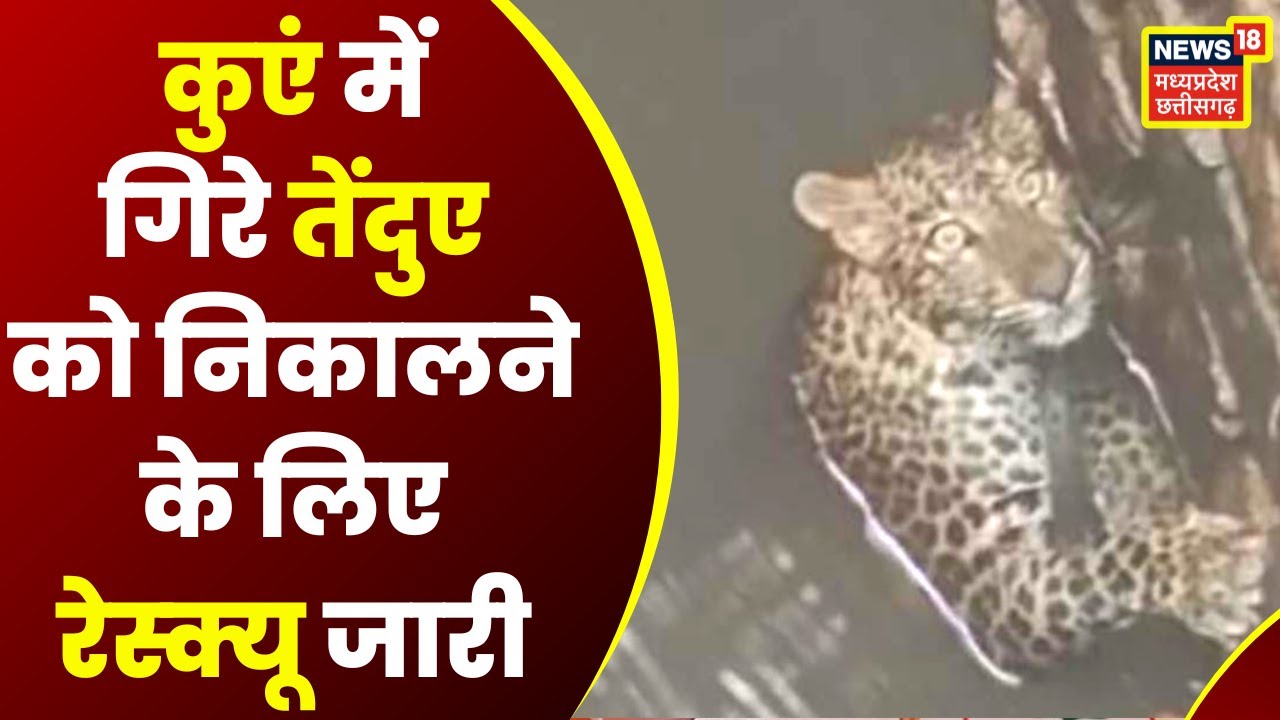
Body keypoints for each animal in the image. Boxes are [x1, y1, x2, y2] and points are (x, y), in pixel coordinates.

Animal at [791, 105, 1268, 685]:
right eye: (948, 237)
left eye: (1030, 185)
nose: (1056, 284)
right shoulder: (999, 587)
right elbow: (1097, 566)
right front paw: (1203, 564)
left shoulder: (1098, 384)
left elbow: (1129, 448)